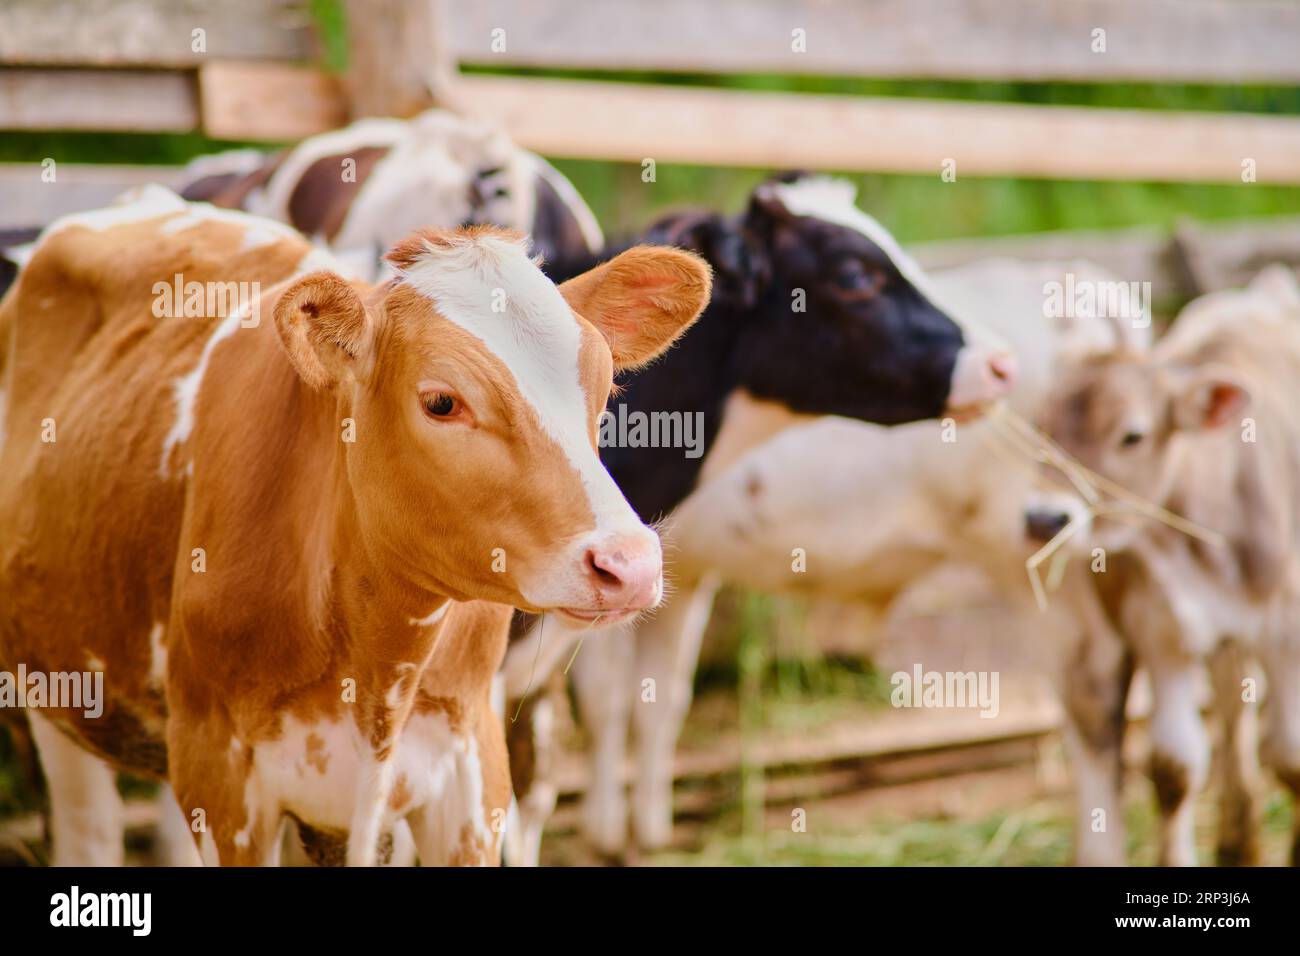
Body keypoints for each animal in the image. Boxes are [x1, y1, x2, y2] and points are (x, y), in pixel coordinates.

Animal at [0, 185, 711, 865]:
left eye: (604, 387)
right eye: (442, 401)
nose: (630, 563)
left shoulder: (471, 770)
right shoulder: (221, 780)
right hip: (56, 693)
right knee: (90, 832)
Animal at [503, 257, 1144, 864]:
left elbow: (602, 700)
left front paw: (605, 833)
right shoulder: (677, 581)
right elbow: (656, 698)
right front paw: (646, 828)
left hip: (1026, 551)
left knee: (1091, 679)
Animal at [1026, 265, 1300, 865]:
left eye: (1133, 434)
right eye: (1042, 427)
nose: (1042, 517)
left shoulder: (1286, 631)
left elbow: (1291, 757)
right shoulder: (1160, 632)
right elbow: (1175, 768)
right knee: (1230, 705)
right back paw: (1237, 838)